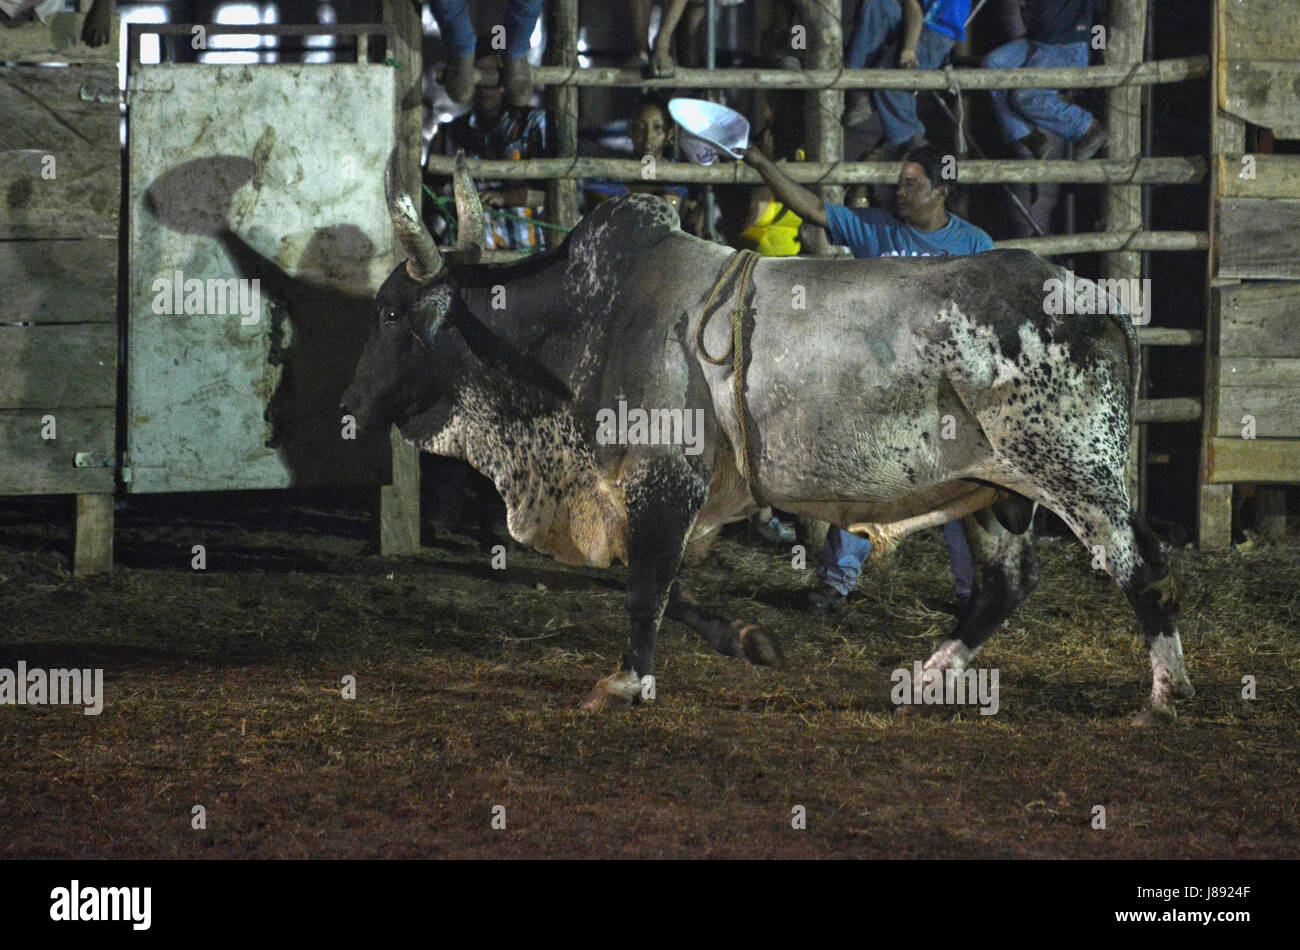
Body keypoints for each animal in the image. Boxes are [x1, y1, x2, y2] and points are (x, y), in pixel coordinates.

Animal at [341, 151, 1193, 725]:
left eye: (388, 312)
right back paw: (927, 675)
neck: (592, 316)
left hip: (1076, 474)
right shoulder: (690, 500)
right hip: (994, 488)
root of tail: (1092, 297)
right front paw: (750, 642)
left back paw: (1163, 696)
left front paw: (626, 681)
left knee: (1141, 566)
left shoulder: (661, 481)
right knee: (1007, 581)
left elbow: (645, 589)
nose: (350, 402)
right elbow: (677, 590)